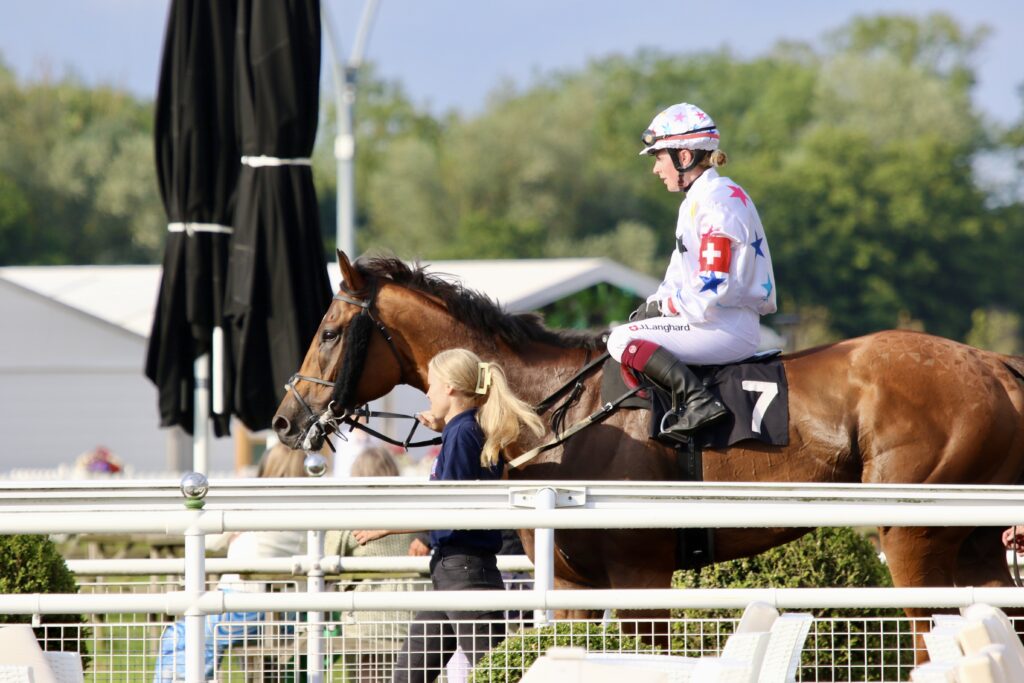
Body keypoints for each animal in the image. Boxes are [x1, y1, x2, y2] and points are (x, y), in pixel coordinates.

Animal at [273, 251, 1024, 653]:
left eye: (330, 331)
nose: (285, 419)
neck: (555, 408)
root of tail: (992, 363)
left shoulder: (641, 571)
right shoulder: (573, 580)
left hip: (913, 538)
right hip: (978, 542)